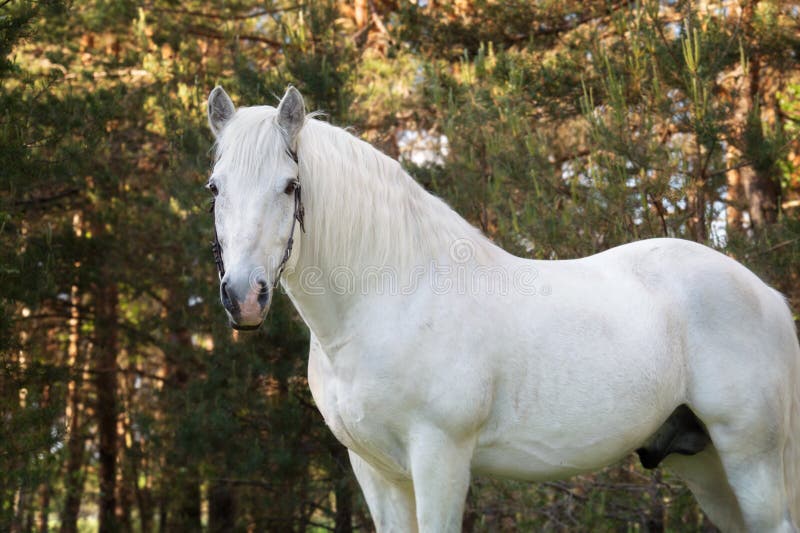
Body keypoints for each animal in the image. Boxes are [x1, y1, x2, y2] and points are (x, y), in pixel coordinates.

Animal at [205, 85, 800, 532]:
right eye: (214, 188)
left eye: (290, 185)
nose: (244, 297)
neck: (391, 297)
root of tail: (767, 295)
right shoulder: (376, 472)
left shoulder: (439, 457)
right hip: (705, 463)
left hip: (750, 456)